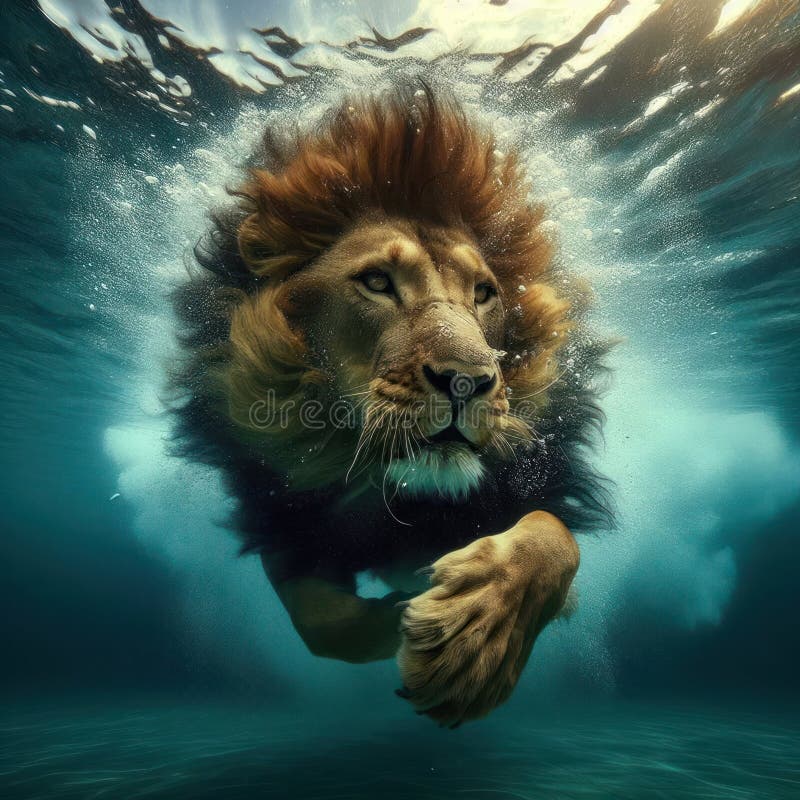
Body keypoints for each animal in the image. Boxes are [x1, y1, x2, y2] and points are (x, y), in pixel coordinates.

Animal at [171, 83, 612, 727]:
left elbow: (553, 538)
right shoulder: (282, 523)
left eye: (484, 293)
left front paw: (478, 633)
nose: (468, 382)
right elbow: (326, 625)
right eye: (378, 282)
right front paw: (407, 615)